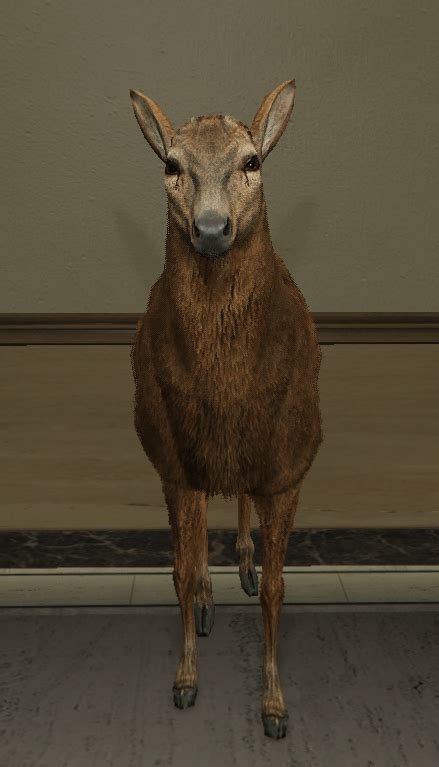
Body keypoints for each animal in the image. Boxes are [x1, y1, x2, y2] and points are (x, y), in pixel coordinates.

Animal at [129, 79, 323, 739]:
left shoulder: (288, 468)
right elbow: (181, 573)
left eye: (252, 161)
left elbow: (277, 591)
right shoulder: (173, 464)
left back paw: (241, 561)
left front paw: (275, 707)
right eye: (171, 165)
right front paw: (185, 681)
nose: (212, 229)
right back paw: (215, 596)